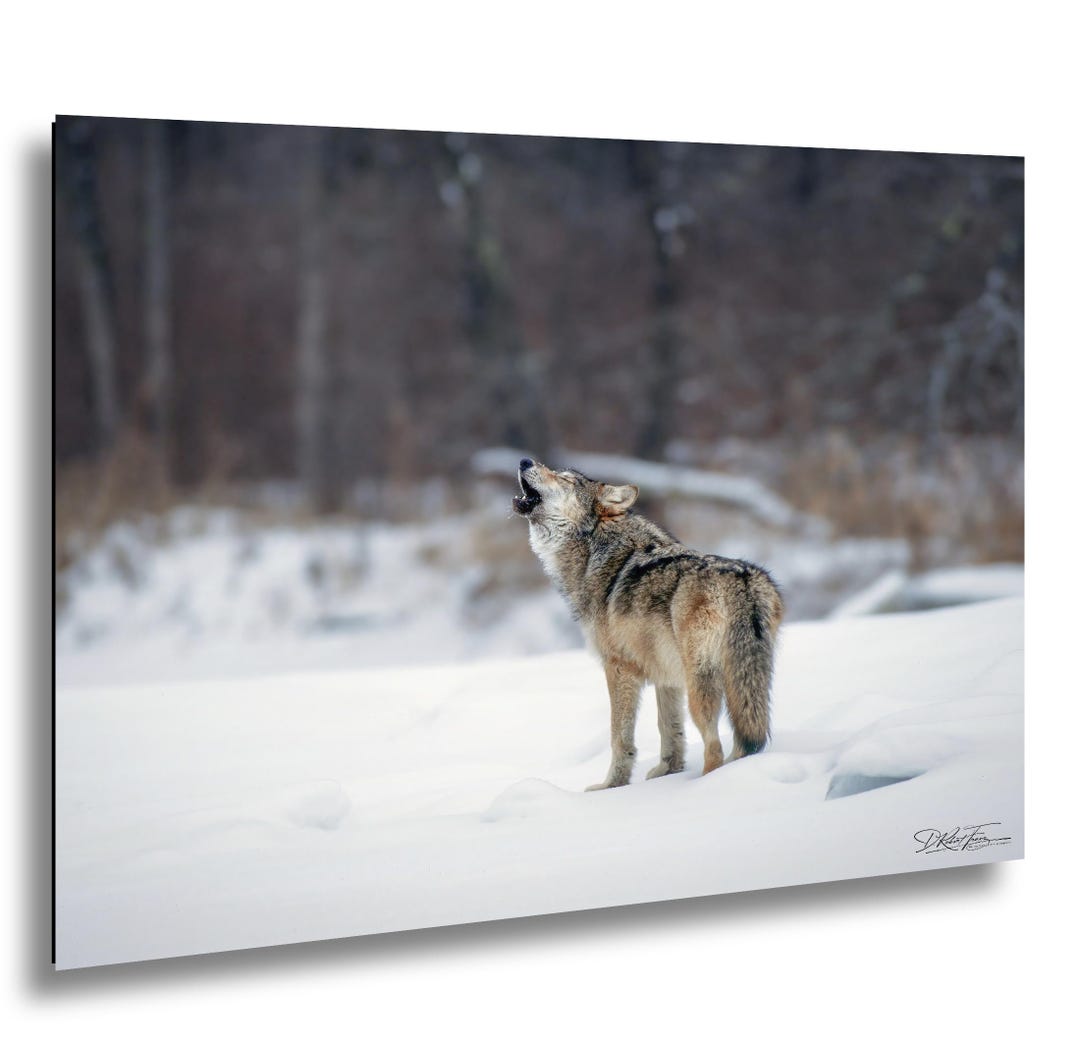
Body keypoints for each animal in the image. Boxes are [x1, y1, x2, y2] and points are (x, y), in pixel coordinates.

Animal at [512, 457, 783, 790]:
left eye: (565, 479)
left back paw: (704, 787)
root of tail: (744, 580)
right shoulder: (665, 674)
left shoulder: (619, 668)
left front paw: (611, 786)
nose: (524, 460)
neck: (595, 551)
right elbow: (670, 730)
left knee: (715, 748)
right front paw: (668, 773)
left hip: (701, 688)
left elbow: (619, 736)